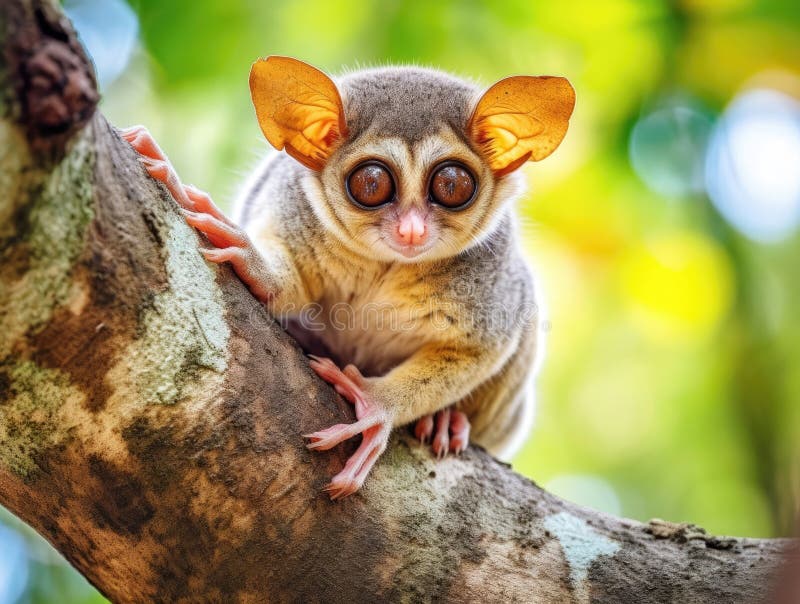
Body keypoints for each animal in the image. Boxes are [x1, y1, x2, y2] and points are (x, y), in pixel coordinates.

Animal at [122, 56, 575, 500]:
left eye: (452, 184)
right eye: (371, 183)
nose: (412, 232)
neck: (386, 264)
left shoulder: (489, 280)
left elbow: (480, 348)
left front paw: (375, 409)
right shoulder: (290, 208)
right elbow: (284, 289)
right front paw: (241, 248)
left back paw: (447, 421)